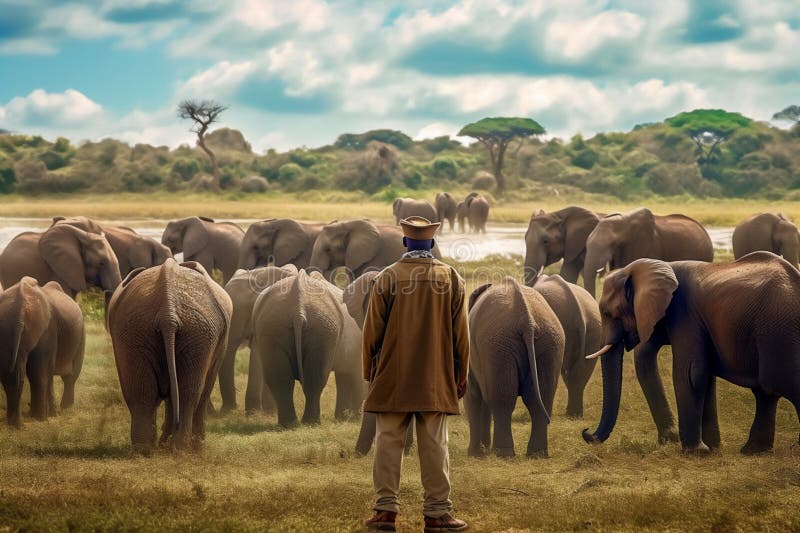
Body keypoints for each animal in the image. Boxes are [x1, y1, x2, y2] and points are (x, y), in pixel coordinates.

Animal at [0, 278, 84, 427]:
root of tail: (20, 309)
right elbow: (45, 372)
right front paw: (52, 415)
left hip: (9, 329)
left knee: (13, 373)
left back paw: (17, 424)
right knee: (46, 374)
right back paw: (43, 417)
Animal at [105, 258, 232, 453]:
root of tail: (168, 311)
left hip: (140, 329)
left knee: (145, 390)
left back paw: (149, 450)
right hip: (190, 330)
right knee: (186, 392)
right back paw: (175, 450)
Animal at [250, 270, 363, 427]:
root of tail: (298, 307)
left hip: (277, 325)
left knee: (284, 378)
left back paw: (291, 424)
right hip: (317, 326)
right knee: (314, 379)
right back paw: (309, 423)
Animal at [465, 277, 565, 457]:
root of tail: (527, 321)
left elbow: (473, 394)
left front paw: (474, 454)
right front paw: (482, 451)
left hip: (498, 347)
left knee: (502, 400)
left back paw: (503, 455)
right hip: (549, 343)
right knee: (541, 398)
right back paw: (537, 454)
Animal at [583, 253, 800, 455]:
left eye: (607, 314)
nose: (586, 431)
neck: (661, 266)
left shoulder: (684, 313)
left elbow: (691, 373)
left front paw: (695, 452)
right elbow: (705, 376)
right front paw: (712, 448)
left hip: (778, 333)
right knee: (765, 394)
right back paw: (753, 451)